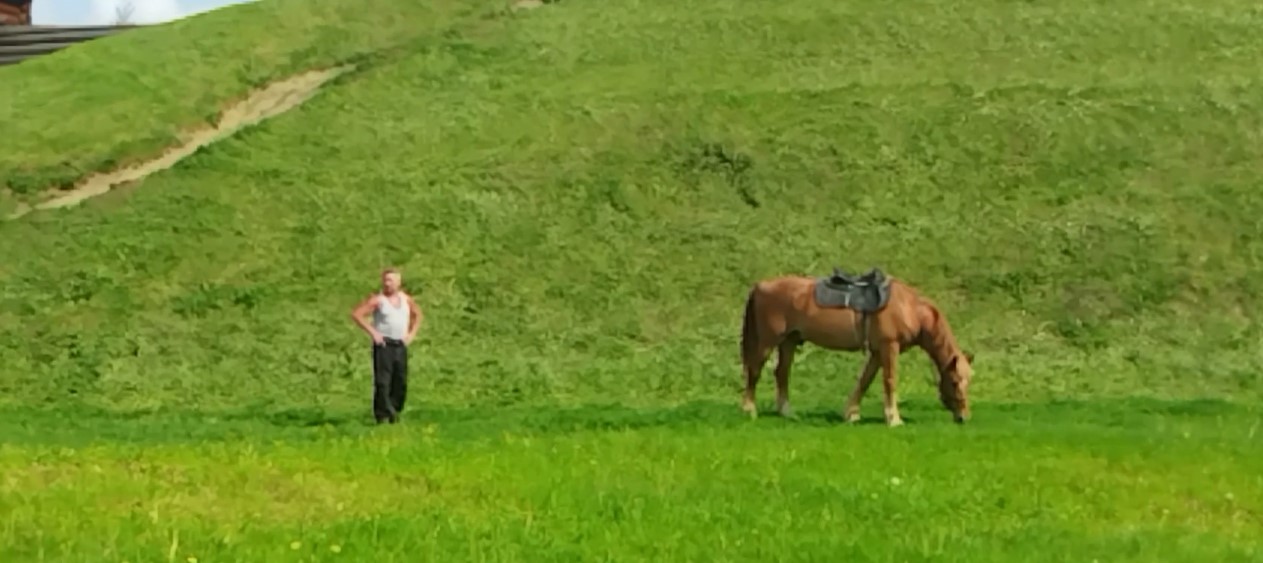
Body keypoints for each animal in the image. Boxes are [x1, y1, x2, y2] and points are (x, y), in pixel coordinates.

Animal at [739, 268, 974, 426]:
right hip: (767, 341)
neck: (909, 308)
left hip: (789, 341)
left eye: (967, 382)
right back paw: (749, 410)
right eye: (954, 382)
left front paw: (851, 414)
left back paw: (786, 412)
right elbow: (889, 381)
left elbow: (864, 380)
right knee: (754, 370)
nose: (963, 417)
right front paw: (893, 419)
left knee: (782, 373)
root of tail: (760, 286)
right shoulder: (889, 347)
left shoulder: (877, 352)